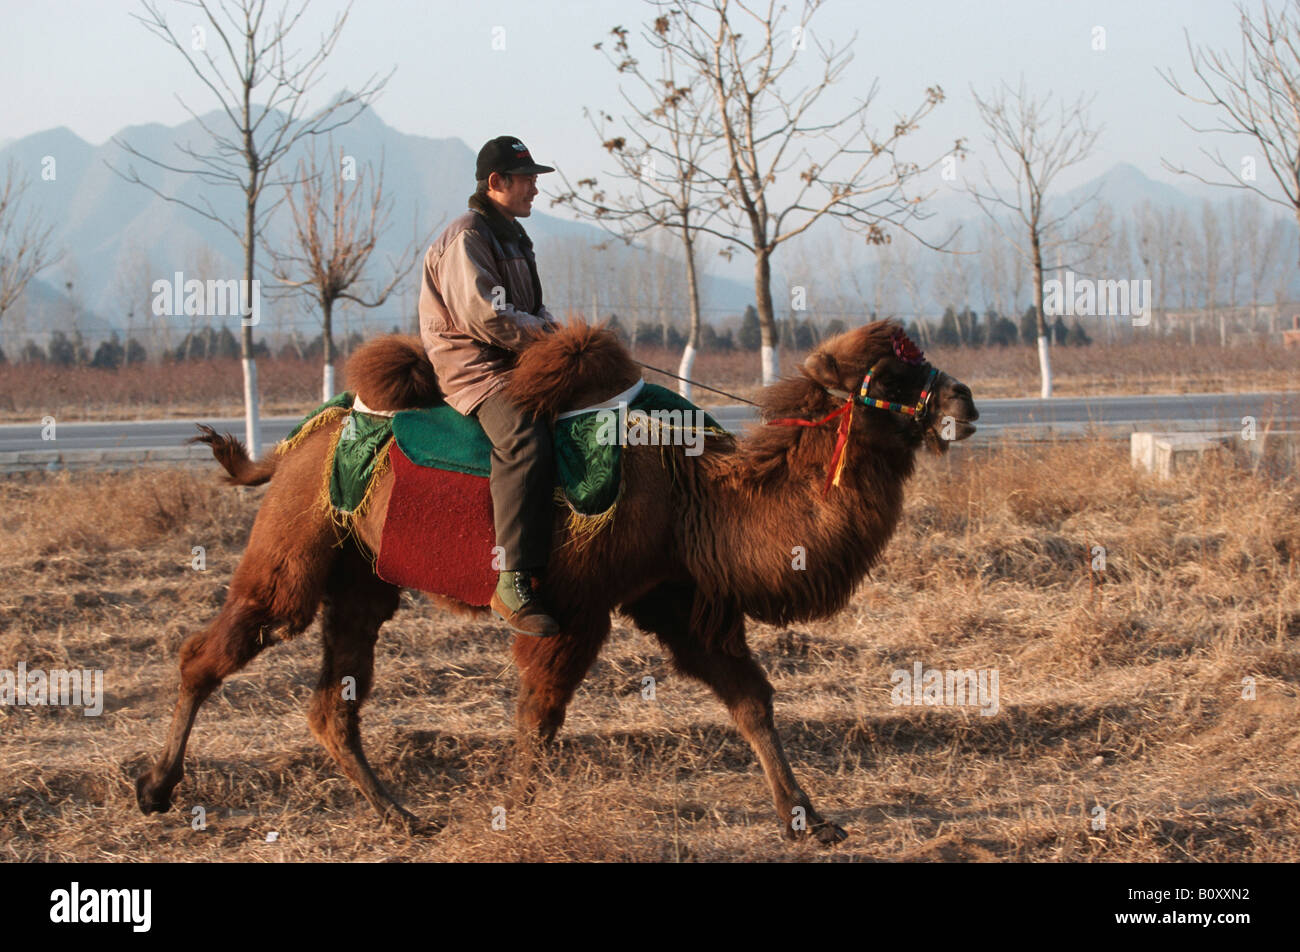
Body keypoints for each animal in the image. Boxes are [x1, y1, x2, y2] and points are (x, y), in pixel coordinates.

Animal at [134, 319, 979, 845]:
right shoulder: (573, 610)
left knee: (332, 703)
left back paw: (404, 819)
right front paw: (510, 815)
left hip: (361, 580)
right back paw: (155, 789)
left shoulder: (679, 599)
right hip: (296, 545)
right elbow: (539, 718)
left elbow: (750, 702)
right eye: (893, 368)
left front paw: (811, 822)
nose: (965, 402)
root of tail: (299, 436)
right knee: (216, 648)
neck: (695, 492)